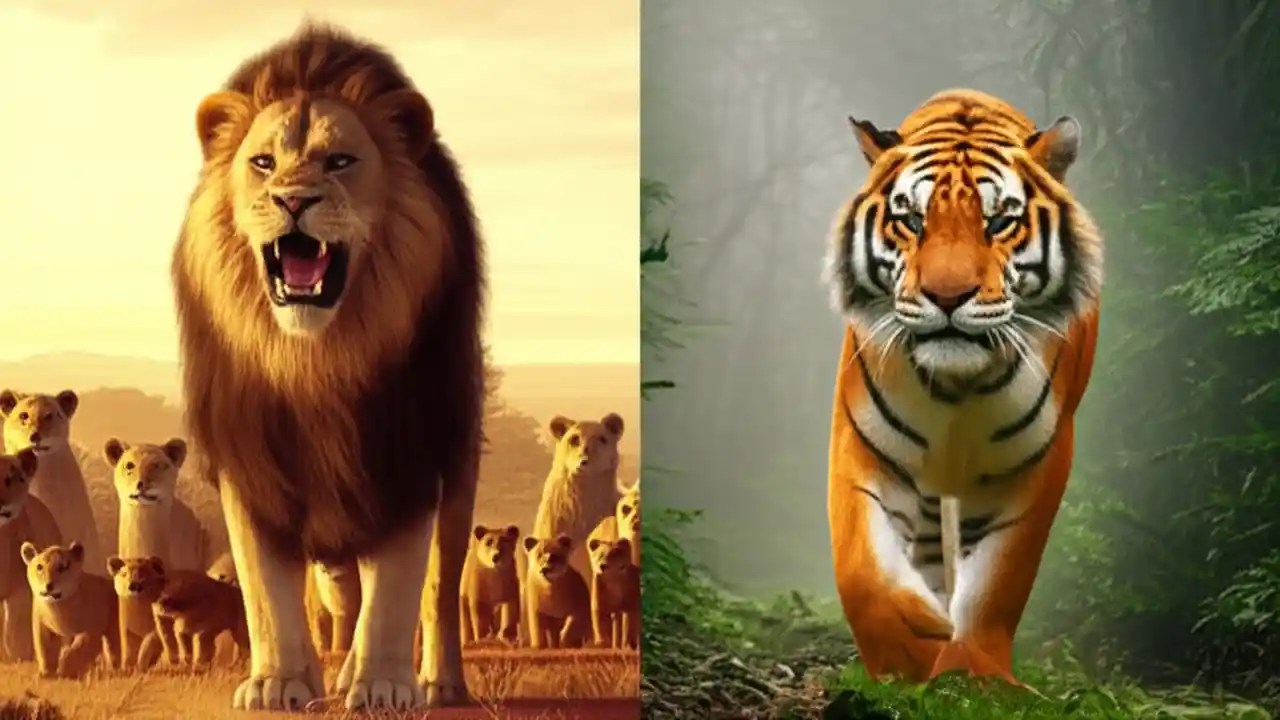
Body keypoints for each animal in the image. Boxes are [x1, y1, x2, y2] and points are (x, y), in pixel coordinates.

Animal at [21, 541, 119, 678]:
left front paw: (64, 670)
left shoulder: (91, 629)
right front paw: (46, 673)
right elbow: (44, 650)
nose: (49, 585)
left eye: (63, 567)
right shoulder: (42, 626)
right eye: (39, 567)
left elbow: (76, 651)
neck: (58, 608)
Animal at [171, 22, 485, 711]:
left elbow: (398, 585)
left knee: (438, 586)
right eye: (263, 164)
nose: (293, 201)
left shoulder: (407, 455)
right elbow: (265, 589)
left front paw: (384, 685)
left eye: (340, 162)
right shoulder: (247, 458)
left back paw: (439, 681)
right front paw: (278, 682)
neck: (315, 362)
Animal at [822, 89, 1101, 687]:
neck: (956, 386)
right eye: (911, 218)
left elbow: (997, 586)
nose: (947, 296)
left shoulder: (1035, 467)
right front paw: (909, 652)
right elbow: (861, 567)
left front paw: (981, 674)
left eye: (999, 221)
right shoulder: (862, 450)